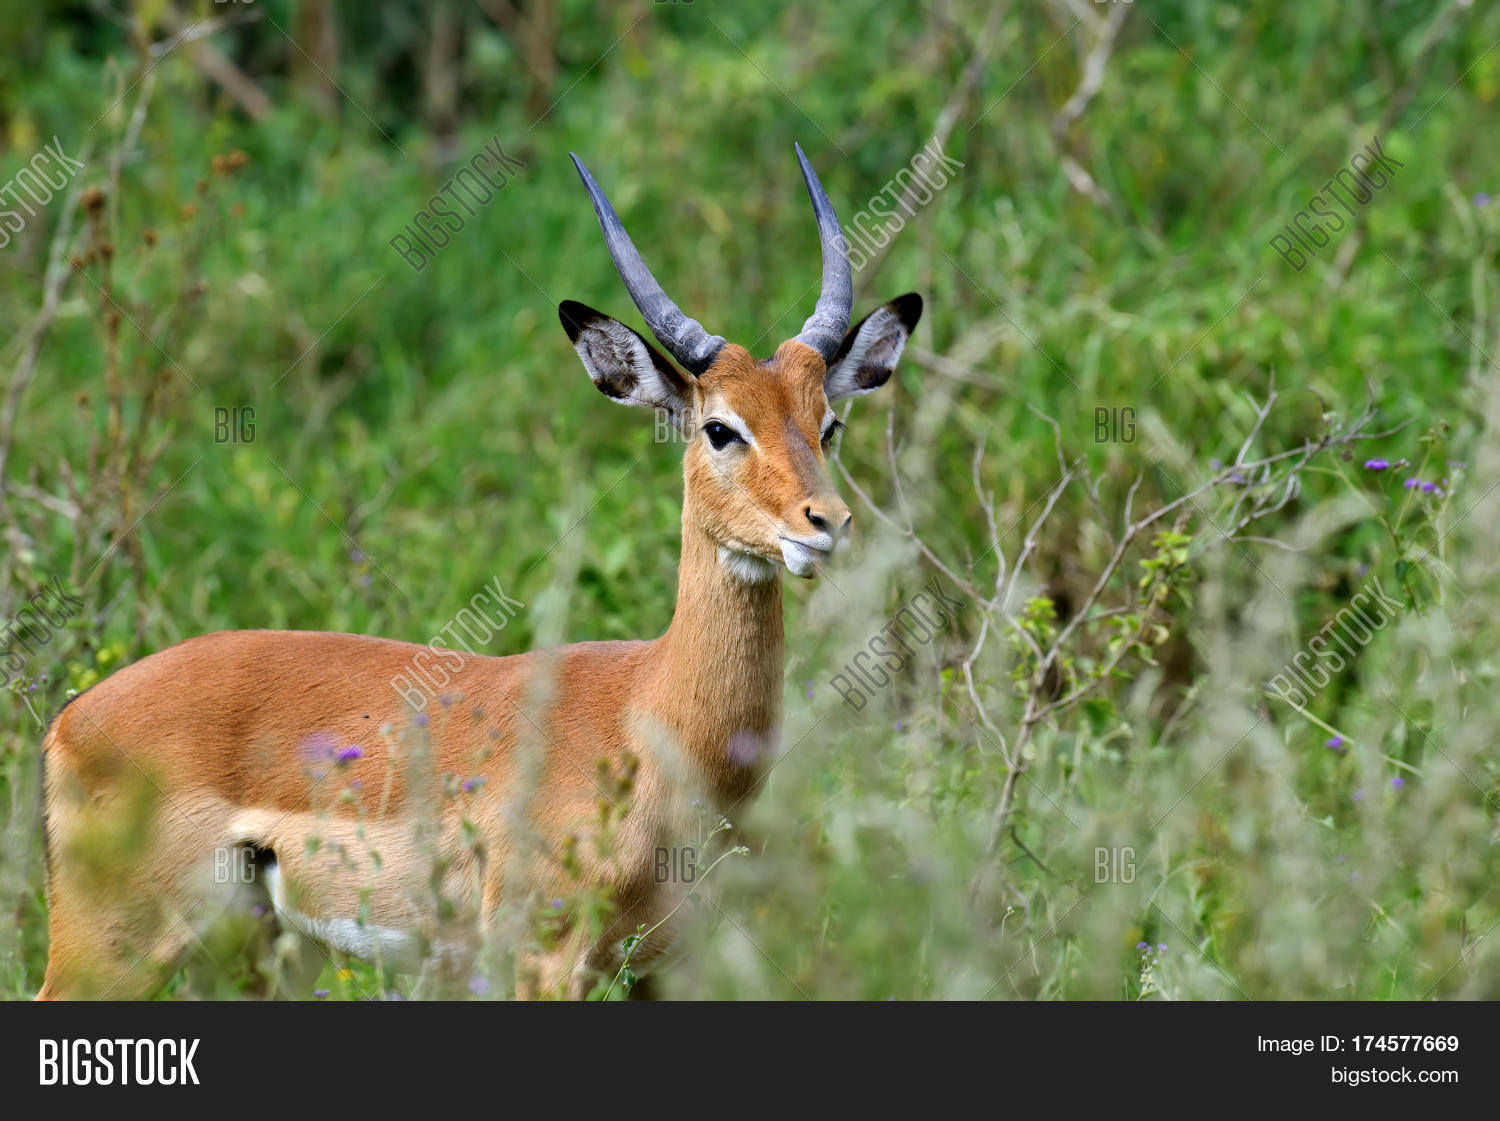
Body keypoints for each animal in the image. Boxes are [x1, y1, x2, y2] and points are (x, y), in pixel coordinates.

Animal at [38, 144, 922, 1000]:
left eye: (828, 423)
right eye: (720, 427)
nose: (826, 523)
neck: (652, 713)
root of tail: (69, 719)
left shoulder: (667, 968)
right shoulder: (539, 960)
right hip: (109, 949)